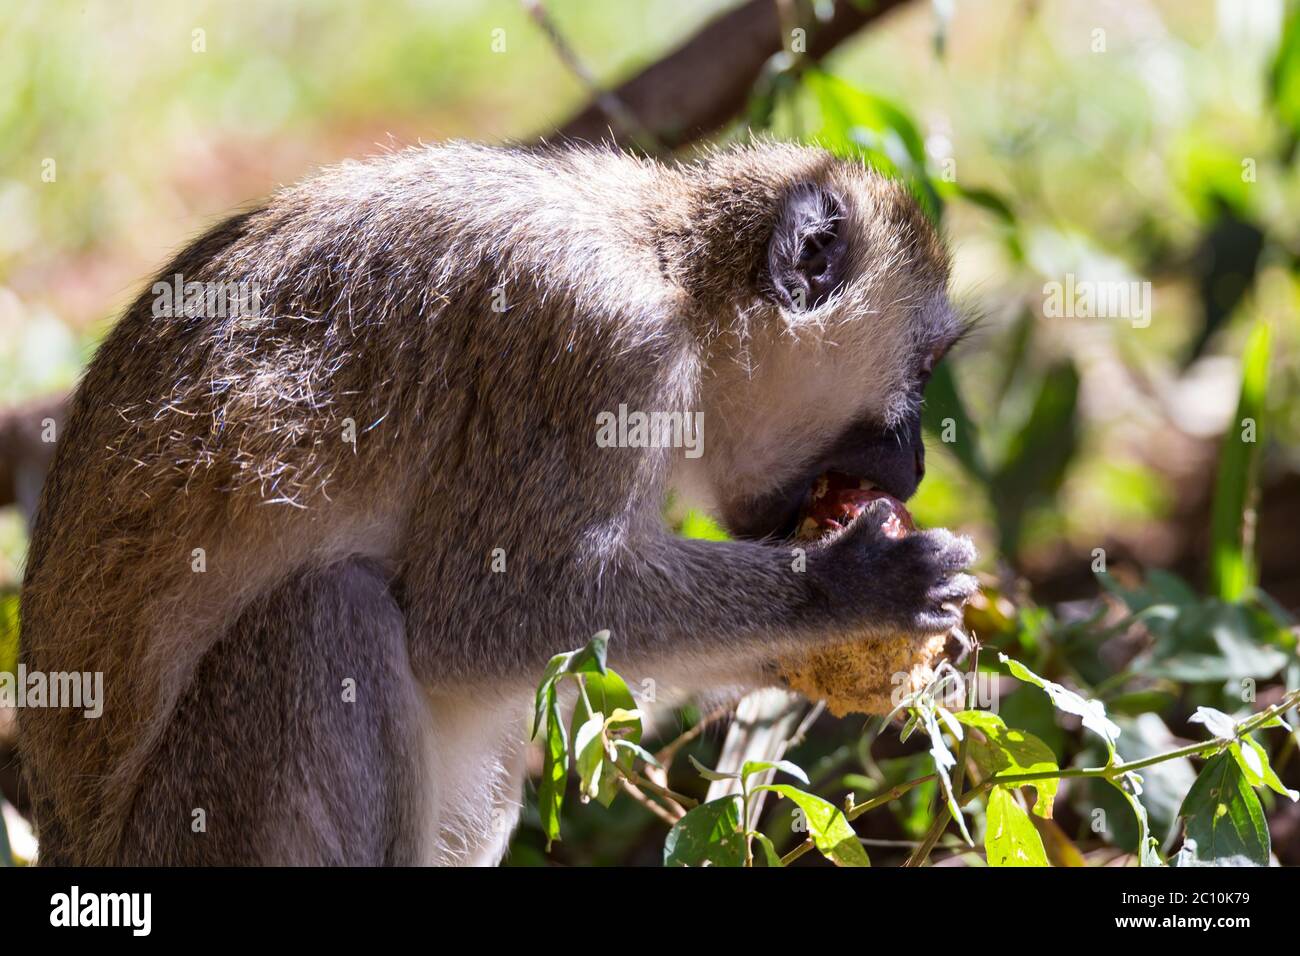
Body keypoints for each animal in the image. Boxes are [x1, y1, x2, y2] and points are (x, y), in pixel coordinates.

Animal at [18, 140, 976, 866]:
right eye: (925, 368)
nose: (917, 463)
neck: (673, 270)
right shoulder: (591, 341)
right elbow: (474, 618)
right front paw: (848, 589)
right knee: (328, 617)